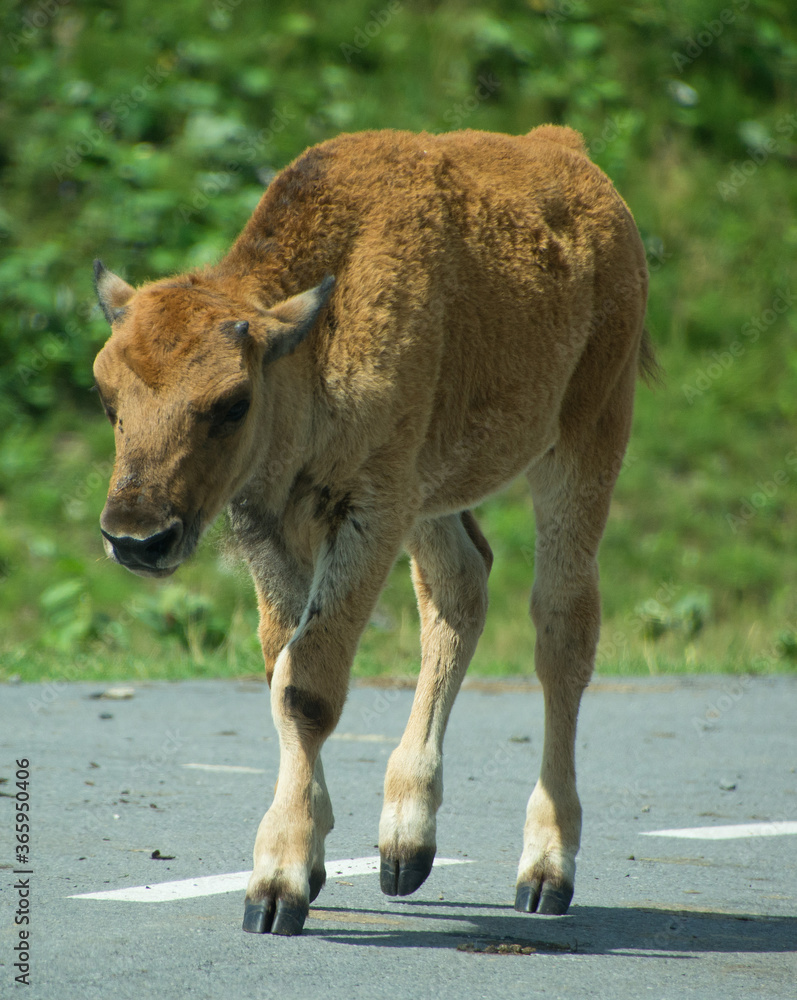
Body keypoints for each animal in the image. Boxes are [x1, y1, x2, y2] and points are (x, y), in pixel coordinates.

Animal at [92, 125, 655, 936]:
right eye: (108, 398)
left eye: (231, 402)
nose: (136, 539)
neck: (310, 345)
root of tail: (565, 149)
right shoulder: (278, 529)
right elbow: (283, 668)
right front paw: (311, 860)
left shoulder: (371, 513)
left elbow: (307, 686)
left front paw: (276, 887)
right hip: (438, 494)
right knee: (461, 591)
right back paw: (404, 847)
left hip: (584, 441)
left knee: (561, 634)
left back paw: (544, 873)